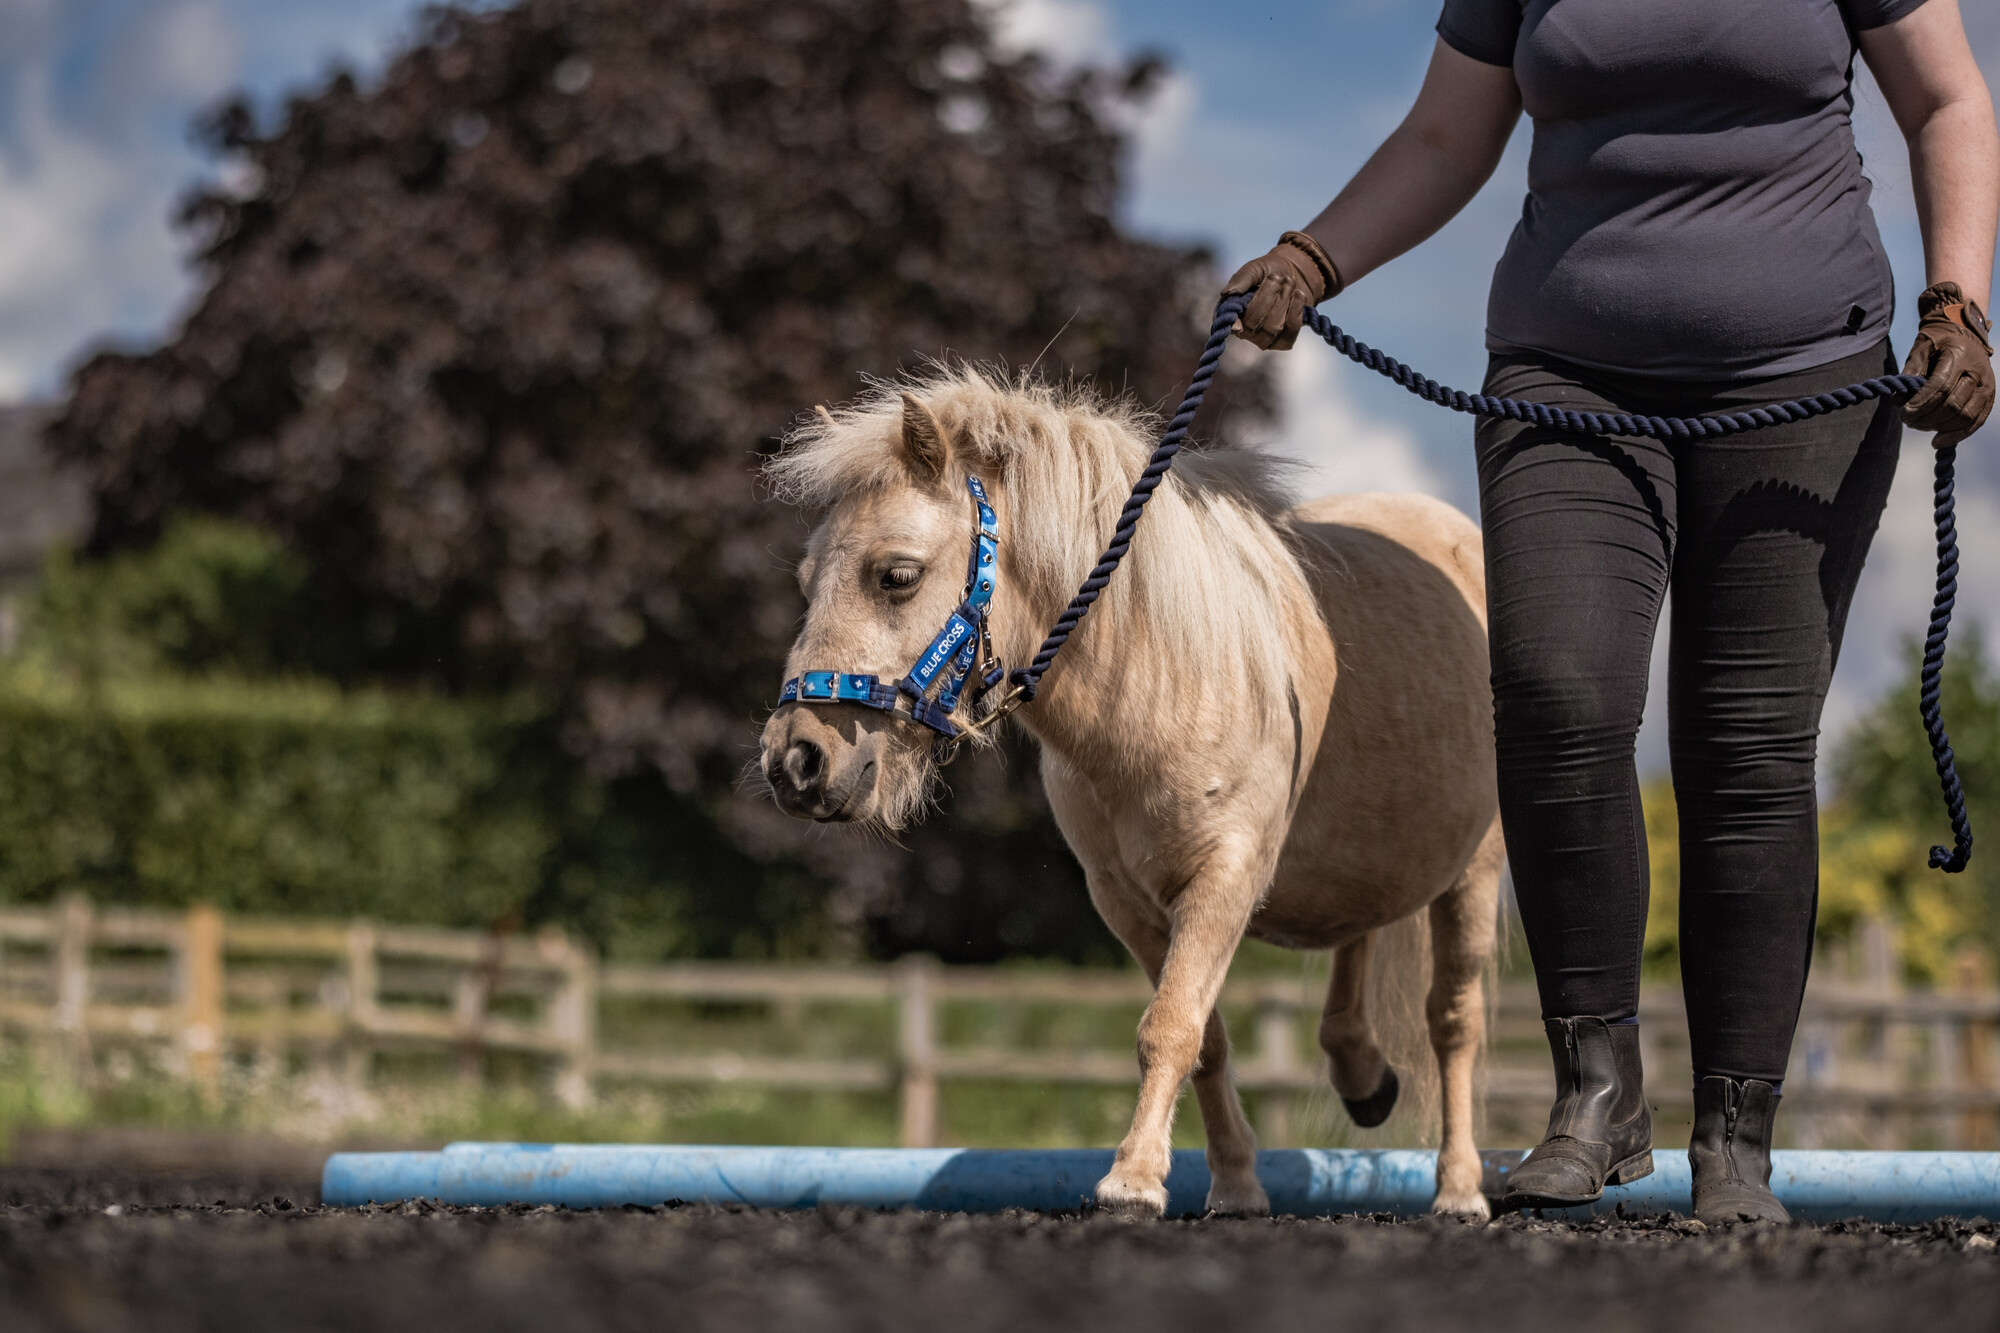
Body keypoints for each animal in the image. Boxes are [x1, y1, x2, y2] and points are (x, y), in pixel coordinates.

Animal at [759, 366, 1504, 1219]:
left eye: (897, 575)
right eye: (806, 580)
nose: (795, 761)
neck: (1165, 672)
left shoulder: (1223, 877)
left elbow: (1172, 1024)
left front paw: (1133, 1179)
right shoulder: (1124, 898)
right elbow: (1204, 1037)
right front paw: (1236, 1184)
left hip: (1476, 873)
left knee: (1452, 1021)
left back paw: (1459, 1185)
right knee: (1361, 930)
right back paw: (1361, 1072)